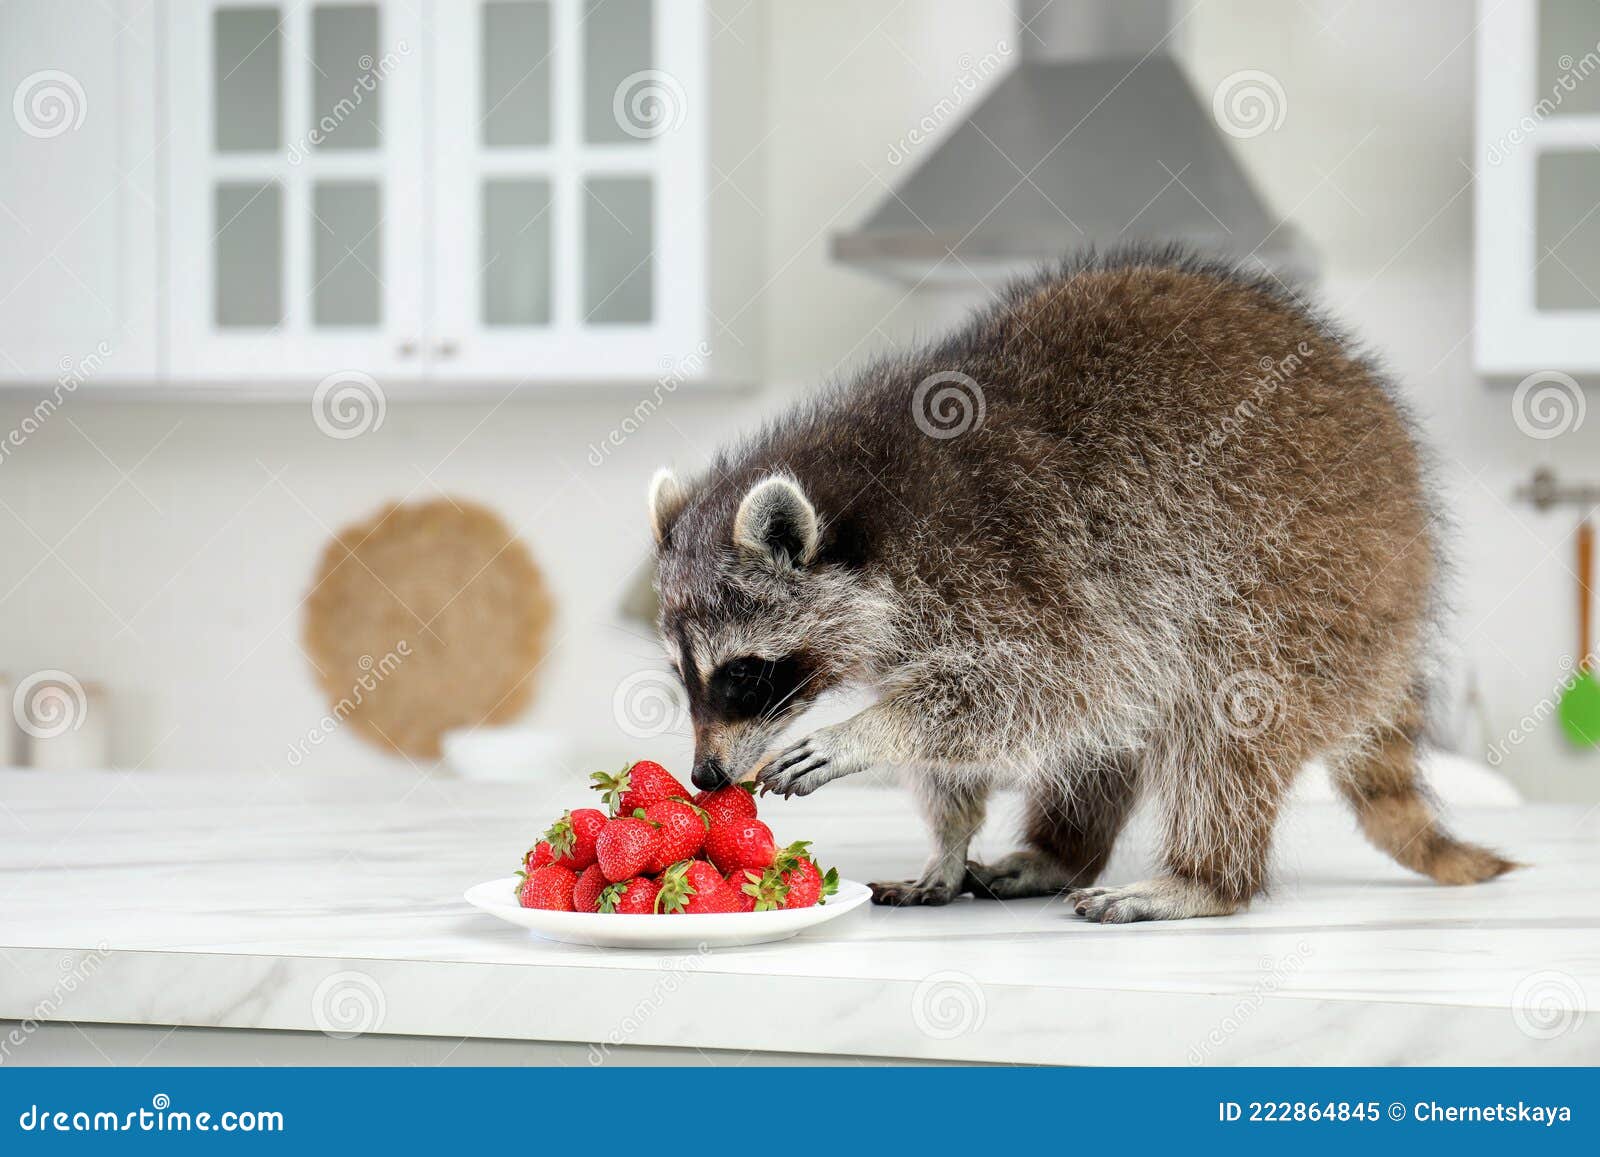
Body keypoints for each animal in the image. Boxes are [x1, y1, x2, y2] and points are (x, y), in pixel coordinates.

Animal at [648, 247, 1515, 922]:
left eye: (744, 674)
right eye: (684, 676)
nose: (707, 777)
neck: (874, 506)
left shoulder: (1012, 554)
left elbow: (1043, 682)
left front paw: (867, 730)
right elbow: (991, 734)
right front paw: (949, 838)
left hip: (1310, 575)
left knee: (1224, 717)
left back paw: (1205, 876)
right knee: (1122, 724)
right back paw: (1065, 850)